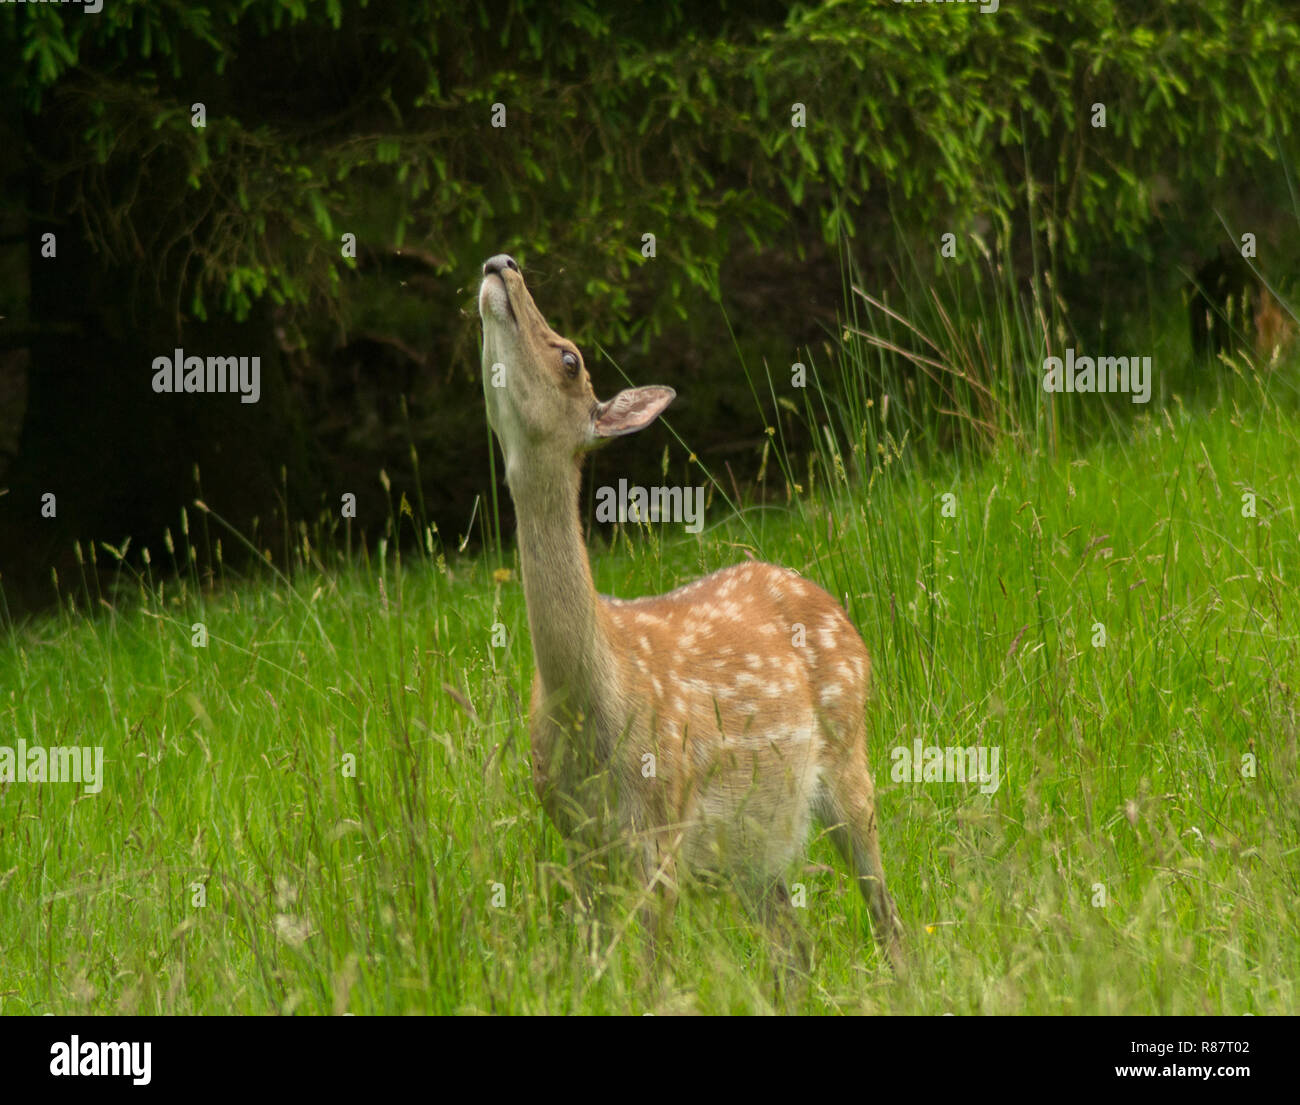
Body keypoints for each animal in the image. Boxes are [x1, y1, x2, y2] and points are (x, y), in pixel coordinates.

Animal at [477, 253, 905, 975]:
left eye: (570, 357)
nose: (503, 263)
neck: (590, 706)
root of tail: (836, 608)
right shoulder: (576, 840)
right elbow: (592, 968)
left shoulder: (664, 824)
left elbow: (654, 973)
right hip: (754, 842)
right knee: (794, 945)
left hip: (850, 751)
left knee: (886, 915)